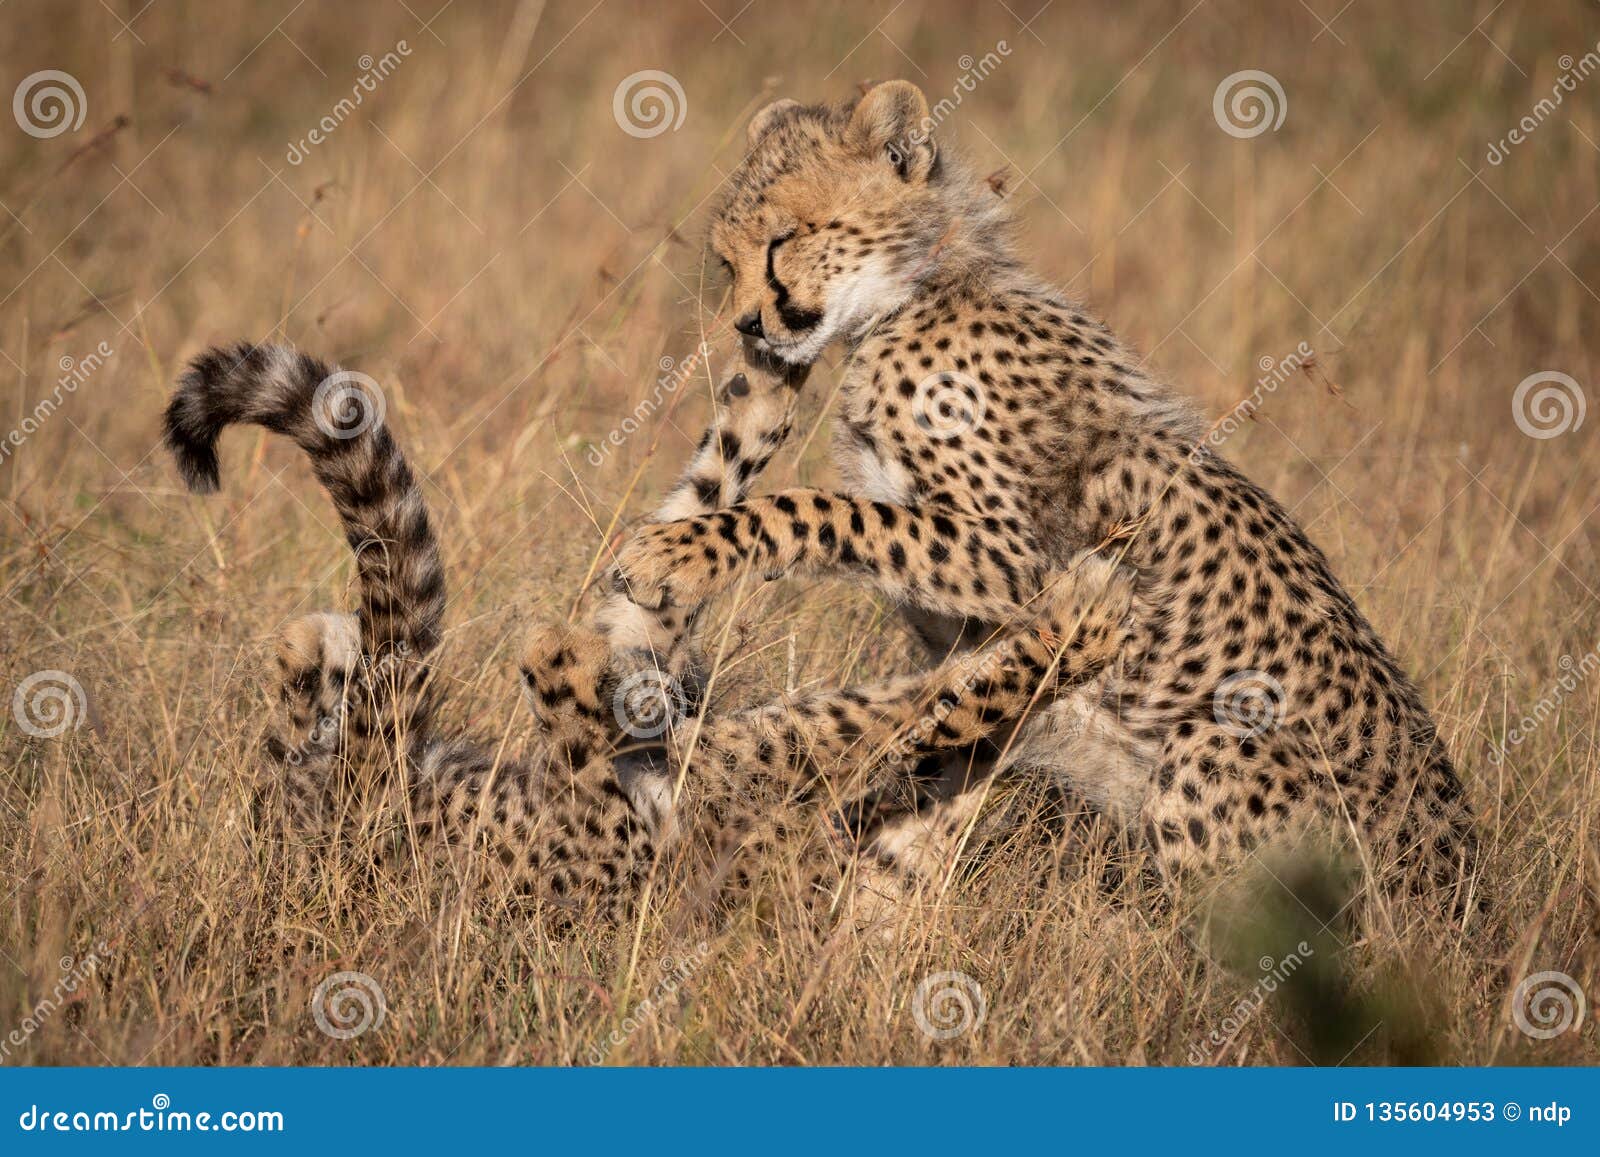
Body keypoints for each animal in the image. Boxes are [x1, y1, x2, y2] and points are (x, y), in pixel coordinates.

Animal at [609, 80, 1482, 918]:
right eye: (726, 263)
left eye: (785, 239)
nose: (749, 326)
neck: (911, 298)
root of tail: (1467, 899)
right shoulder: (991, 662)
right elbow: (921, 803)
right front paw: (865, 943)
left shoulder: (1018, 558)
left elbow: (820, 509)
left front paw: (674, 556)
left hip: (1221, 743)